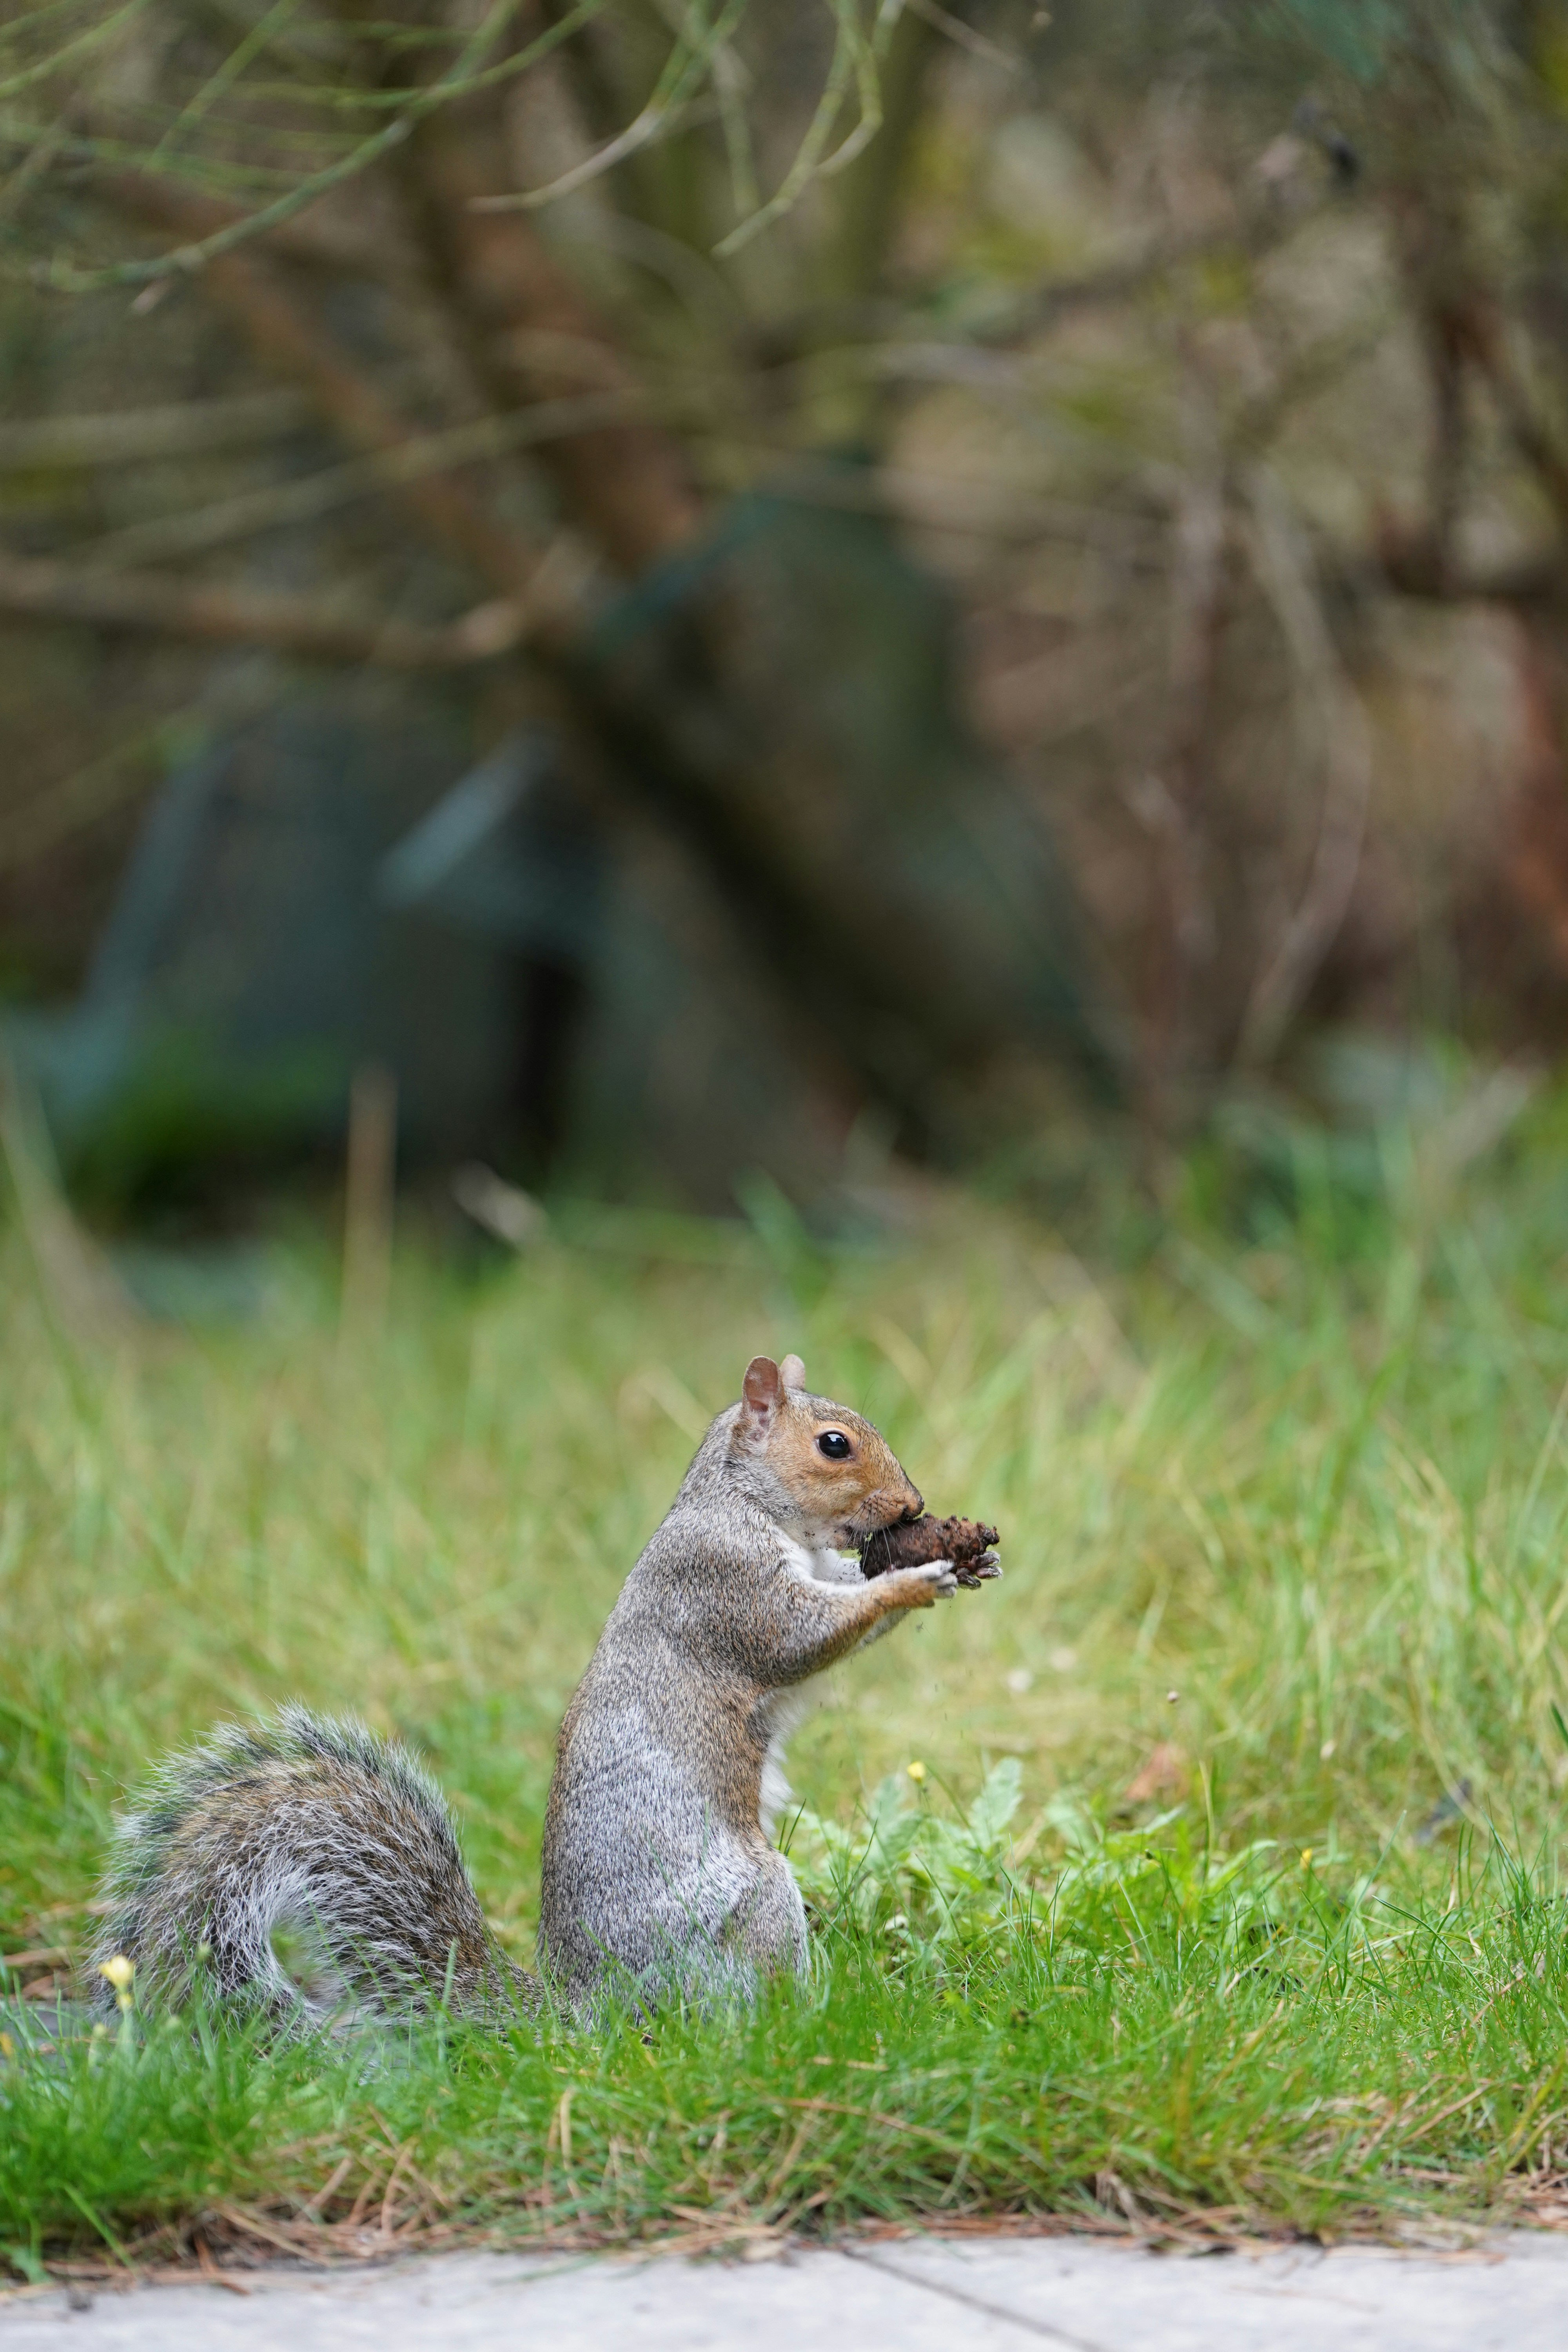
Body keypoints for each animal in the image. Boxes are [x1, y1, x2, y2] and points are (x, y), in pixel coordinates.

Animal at [93, 1354, 955, 2022]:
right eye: (834, 1445)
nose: (914, 1506)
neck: (746, 1505)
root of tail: (581, 2012)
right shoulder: (722, 1582)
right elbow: (797, 1636)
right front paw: (916, 1578)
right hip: (748, 1909)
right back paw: (809, 2015)